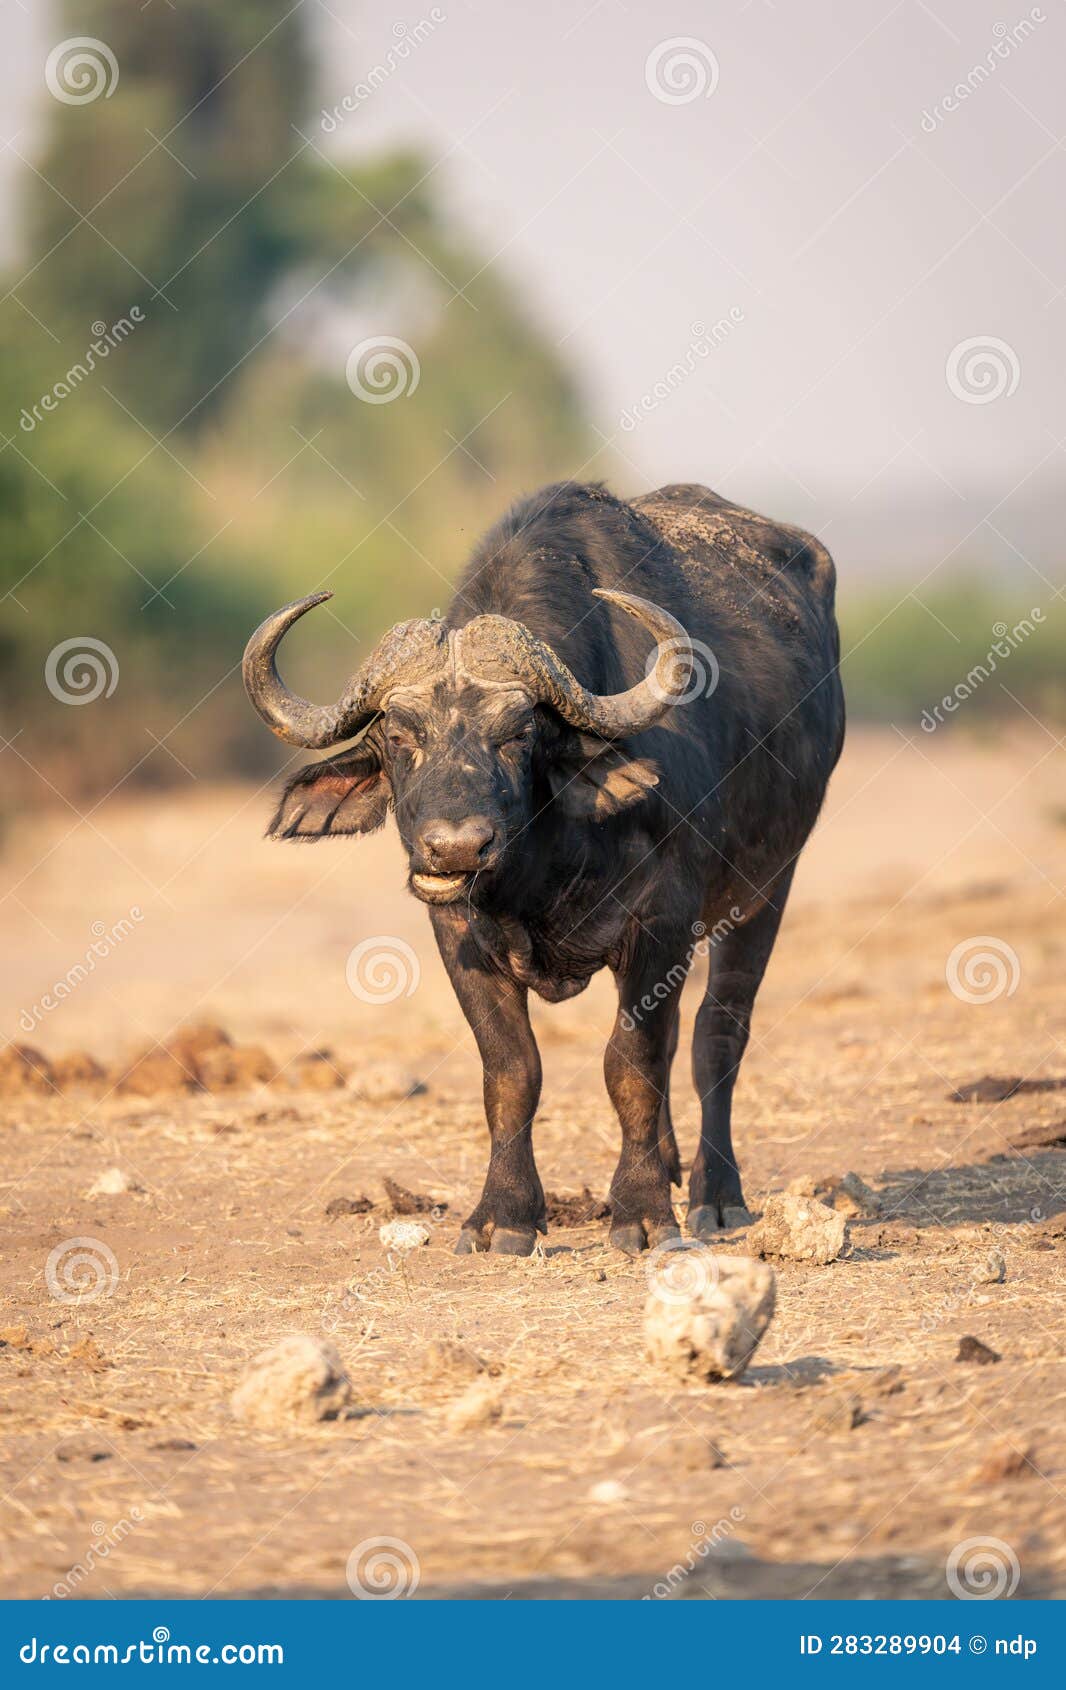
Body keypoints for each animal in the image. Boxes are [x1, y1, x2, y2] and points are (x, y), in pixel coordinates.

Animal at [243, 481, 845, 1255]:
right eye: (398, 735)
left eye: (519, 734)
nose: (455, 848)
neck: (541, 867)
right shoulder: (458, 939)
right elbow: (513, 1071)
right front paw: (504, 1215)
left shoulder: (661, 925)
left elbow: (631, 1065)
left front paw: (641, 1211)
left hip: (767, 887)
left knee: (717, 1034)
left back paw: (716, 1195)